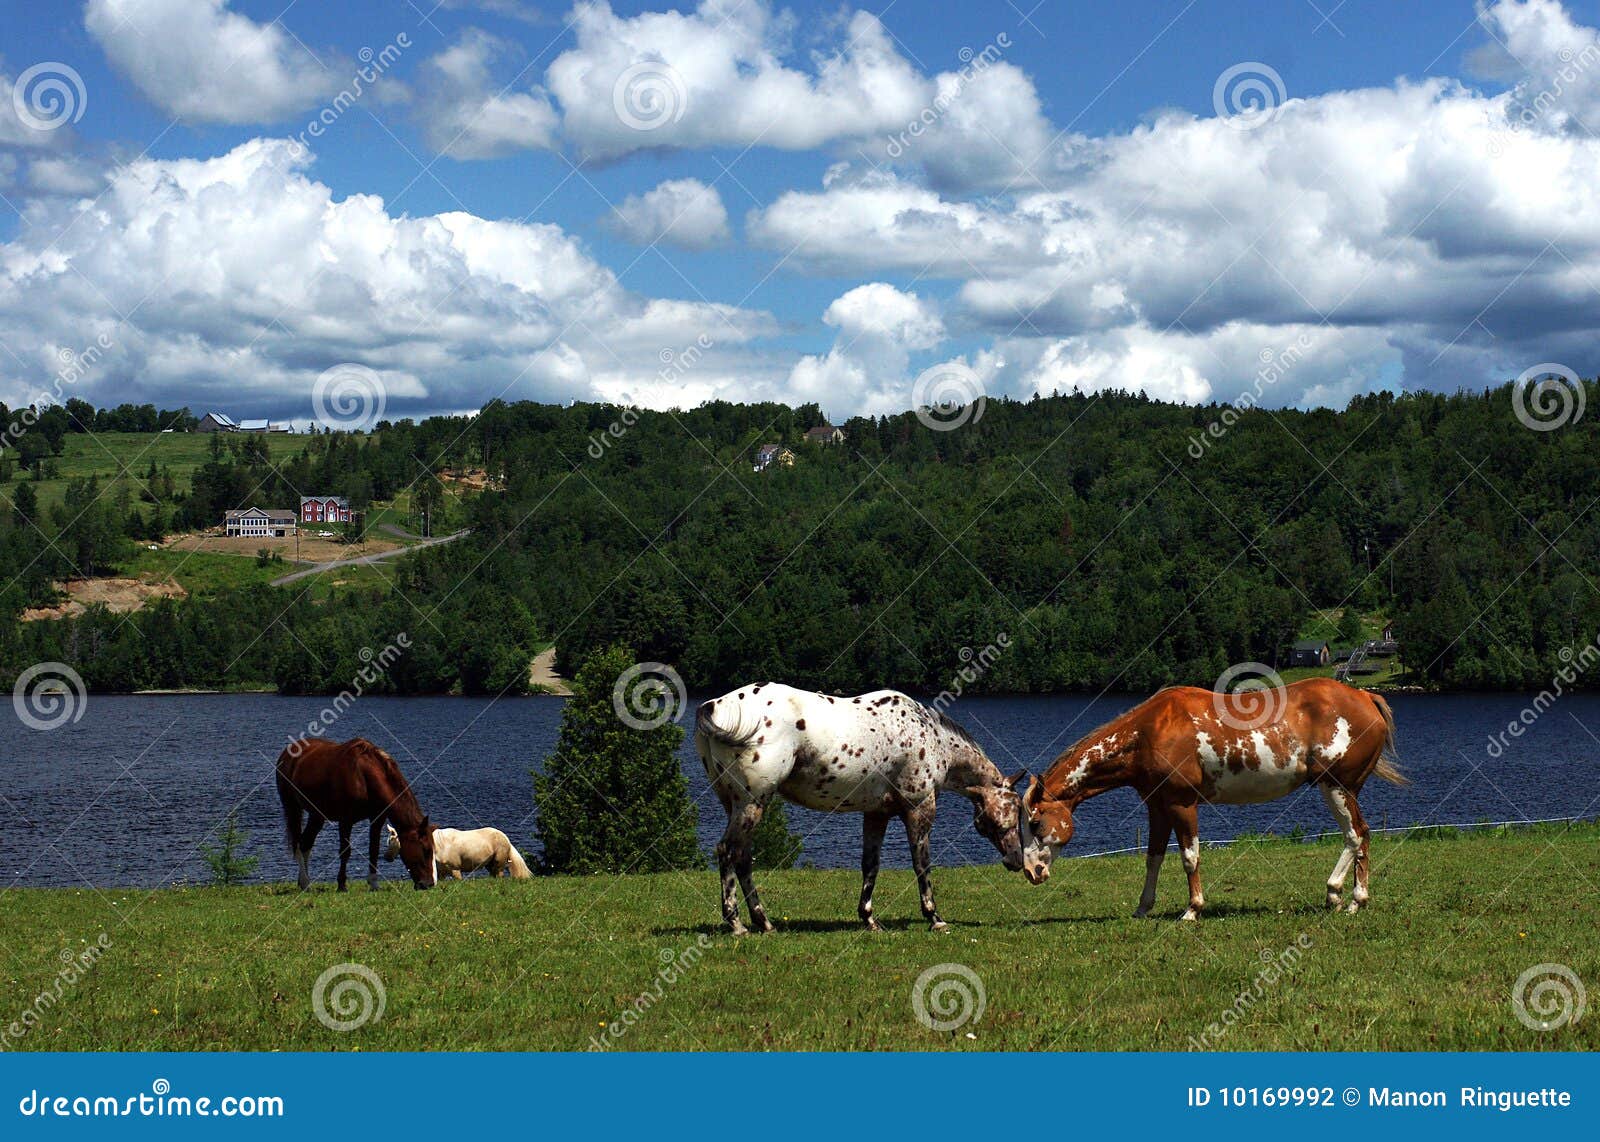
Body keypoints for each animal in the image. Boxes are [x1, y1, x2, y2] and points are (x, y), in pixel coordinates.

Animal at [275, 737, 436, 890]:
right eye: (426, 850)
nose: (428, 884)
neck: (363, 775)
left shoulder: (377, 819)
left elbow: (374, 849)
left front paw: (373, 883)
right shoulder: (345, 820)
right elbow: (345, 851)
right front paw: (341, 885)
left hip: (317, 815)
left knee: (305, 843)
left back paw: (304, 883)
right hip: (292, 807)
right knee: (299, 842)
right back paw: (305, 882)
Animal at [384, 824, 532, 880]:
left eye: (391, 840)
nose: (386, 857)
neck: (437, 846)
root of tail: (506, 839)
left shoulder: (455, 869)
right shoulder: (441, 872)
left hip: (498, 863)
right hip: (490, 865)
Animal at [695, 682, 1029, 935]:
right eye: (1013, 810)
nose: (1016, 860)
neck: (931, 736)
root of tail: (714, 706)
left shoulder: (876, 814)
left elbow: (871, 865)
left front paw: (869, 919)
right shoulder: (919, 808)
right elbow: (922, 864)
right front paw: (935, 918)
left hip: (738, 806)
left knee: (742, 859)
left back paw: (764, 923)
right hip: (751, 804)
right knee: (728, 851)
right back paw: (738, 924)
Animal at [1020, 678, 1406, 919]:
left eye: (1035, 823)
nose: (1030, 872)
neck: (1149, 732)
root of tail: (1365, 697)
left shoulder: (1182, 804)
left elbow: (1190, 858)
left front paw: (1193, 909)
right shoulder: (1157, 807)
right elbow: (1153, 858)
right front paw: (1143, 908)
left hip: (1337, 786)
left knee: (1356, 835)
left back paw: (1347, 897)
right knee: (1360, 836)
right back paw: (1345, 896)